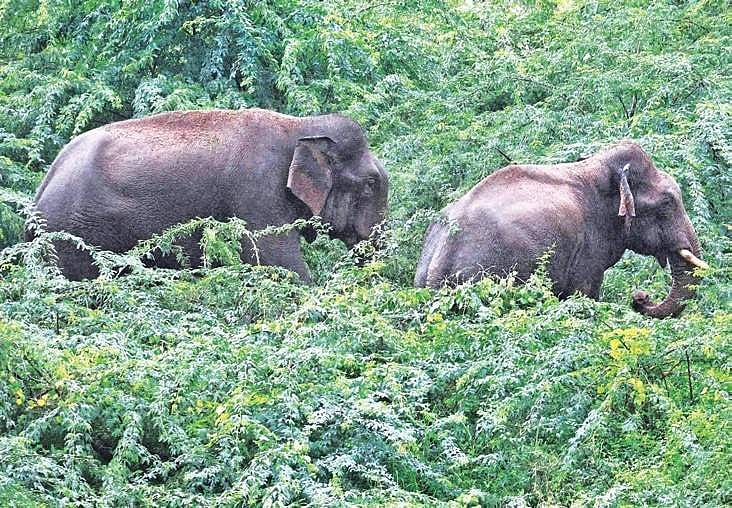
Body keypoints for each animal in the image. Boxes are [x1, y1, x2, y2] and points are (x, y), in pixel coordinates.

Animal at [414, 142, 708, 318]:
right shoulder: (587, 249)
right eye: (667, 202)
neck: (593, 167)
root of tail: (440, 258)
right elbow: (584, 294)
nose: (640, 297)